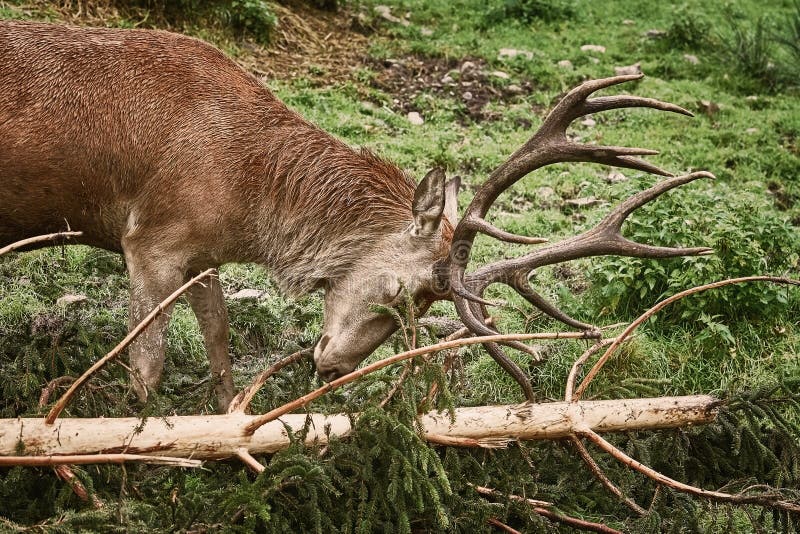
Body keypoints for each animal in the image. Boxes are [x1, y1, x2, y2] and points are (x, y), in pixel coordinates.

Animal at [0, 20, 713, 411]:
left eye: (423, 311)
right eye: (402, 293)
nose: (335, 368)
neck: (242, 196)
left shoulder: (199, 252)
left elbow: (221, 344)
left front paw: (231, 425)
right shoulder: (148, 238)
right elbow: (146, 365)